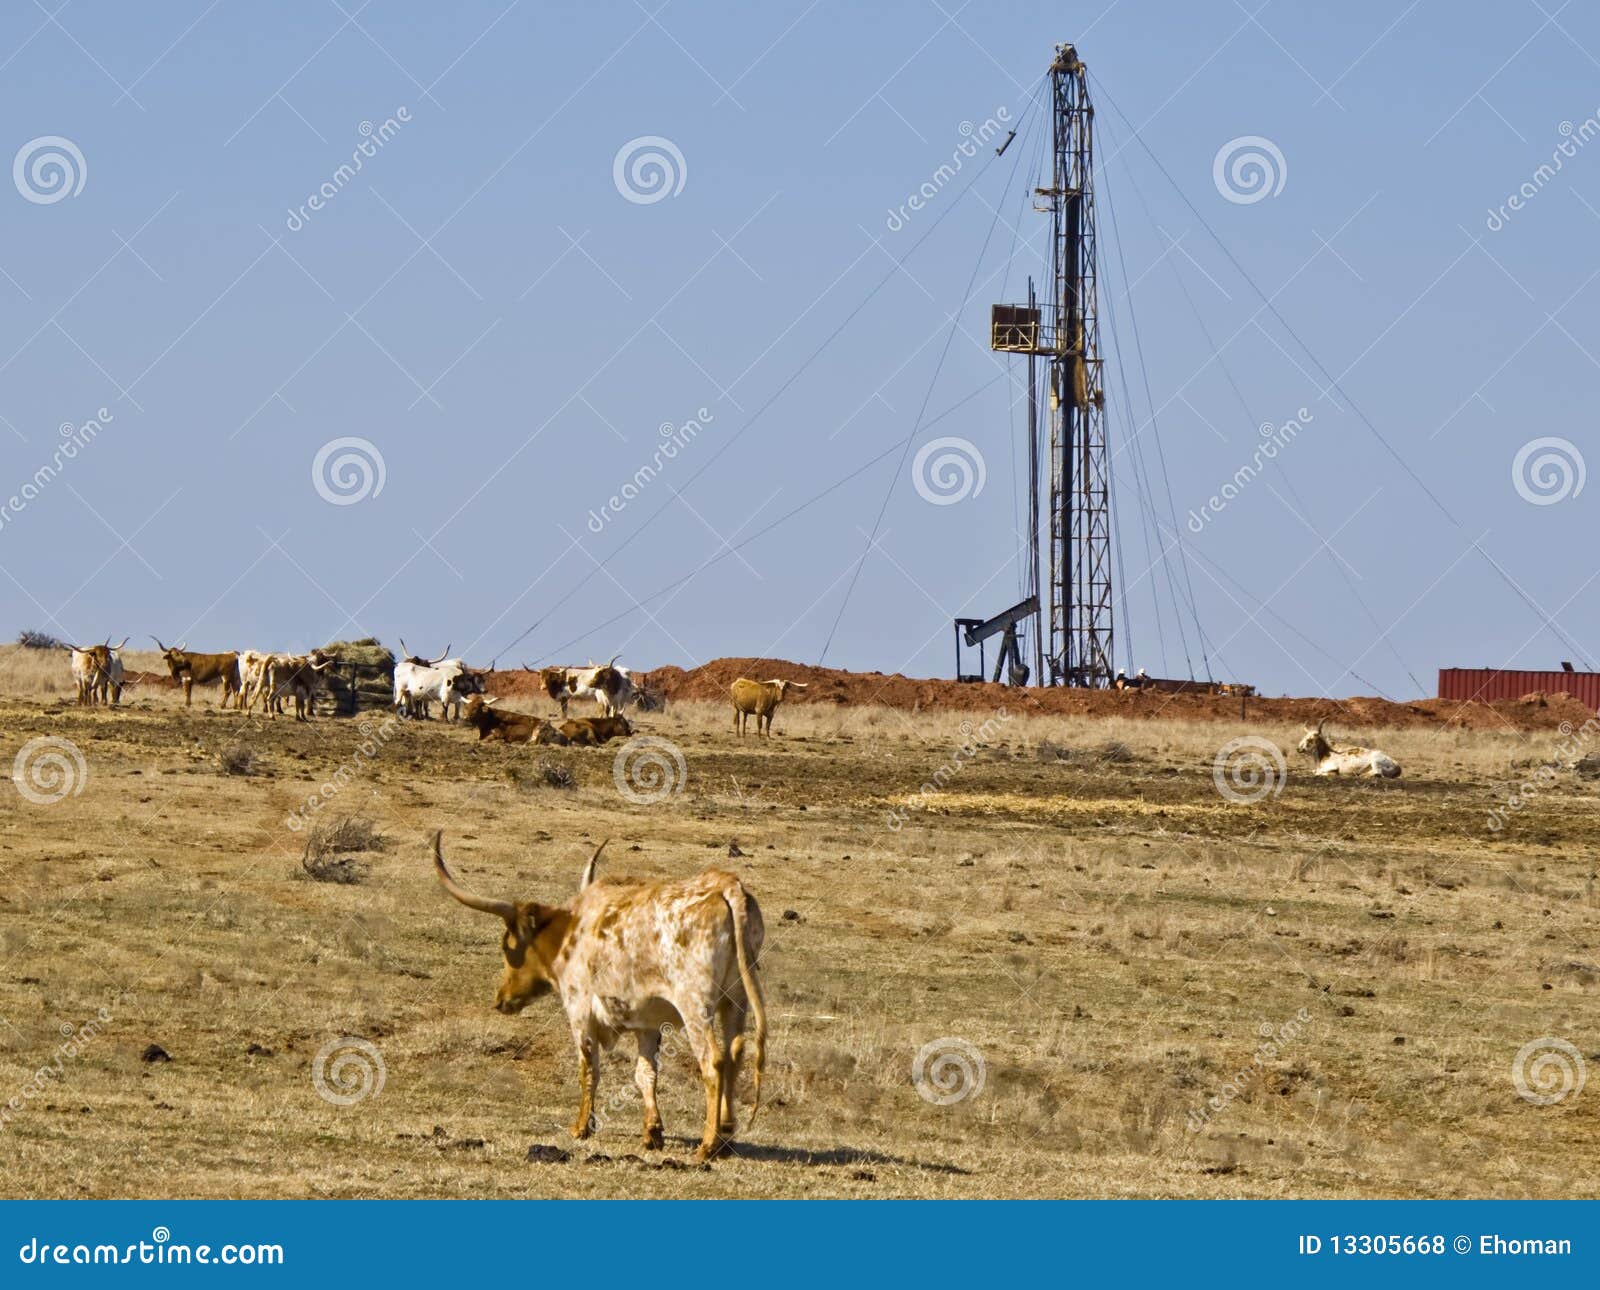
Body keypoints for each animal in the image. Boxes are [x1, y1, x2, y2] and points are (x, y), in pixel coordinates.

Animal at [432, 831, 767, 1162]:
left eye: (506, 945)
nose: (501, 998)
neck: (571, 930)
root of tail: (726, 885)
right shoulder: (647, 1022)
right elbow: (645, 1073)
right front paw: (652, 1132)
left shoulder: (579, 1008)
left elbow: (588, 1067)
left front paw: (581, 1127)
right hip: (735, 1001)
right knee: (736, 1052)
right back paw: (727, 1132)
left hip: (695, 1004)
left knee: (713, 1061)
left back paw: (708, 1144)